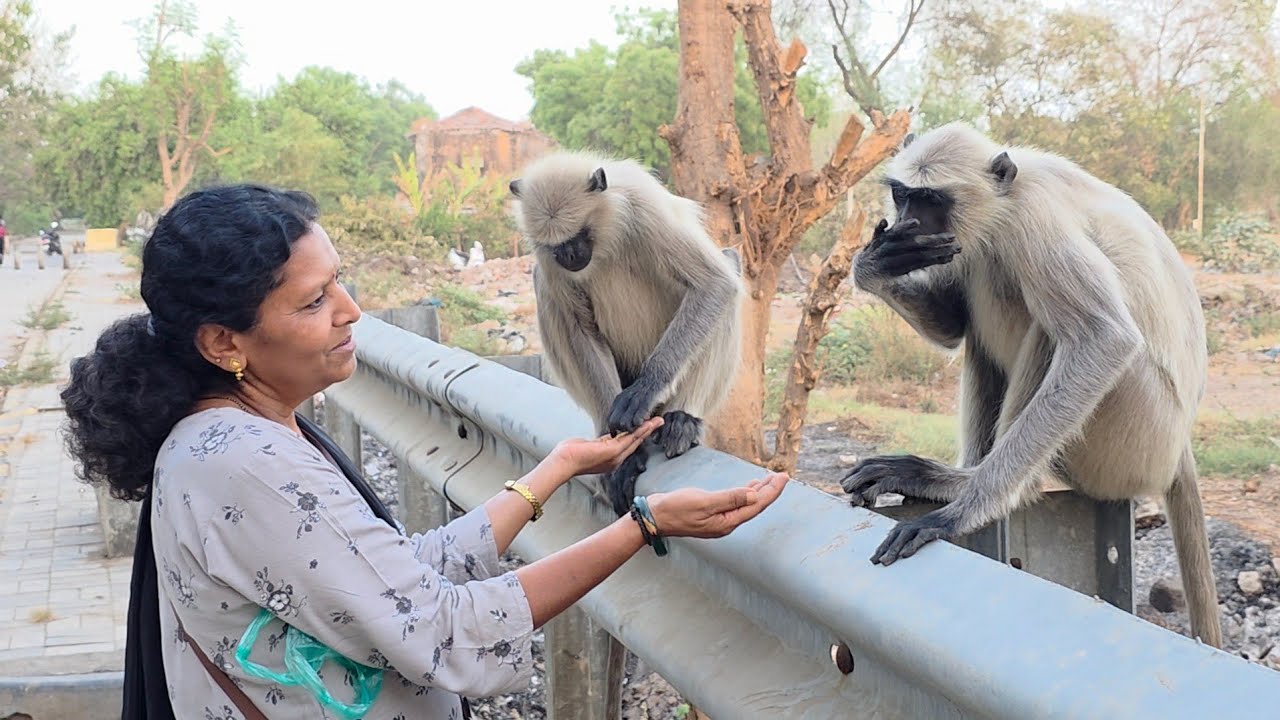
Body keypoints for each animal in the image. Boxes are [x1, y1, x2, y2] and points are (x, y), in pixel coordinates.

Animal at [509, 151, 746, 516]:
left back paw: (682, 418)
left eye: (580, 235)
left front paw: (644, 391)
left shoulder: (643, 208)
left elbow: (713, 284)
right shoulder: (546, 255)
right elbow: (580, 326)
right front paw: (623, 455)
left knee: (728, 264)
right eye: (557, 244)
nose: (569, 256)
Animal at [841, 122, 1222, 647]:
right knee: (982, 299)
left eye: (932, 199)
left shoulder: (1032, 219)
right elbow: (954, 328)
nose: (909, 220)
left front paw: (961, 512)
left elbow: (1106, 339)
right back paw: (955, 473)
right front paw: (875, 263)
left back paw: (974, 487)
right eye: (903, 195)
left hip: (1131, 438)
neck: (1006, 195)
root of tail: (1179, 447)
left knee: (1050, 323)